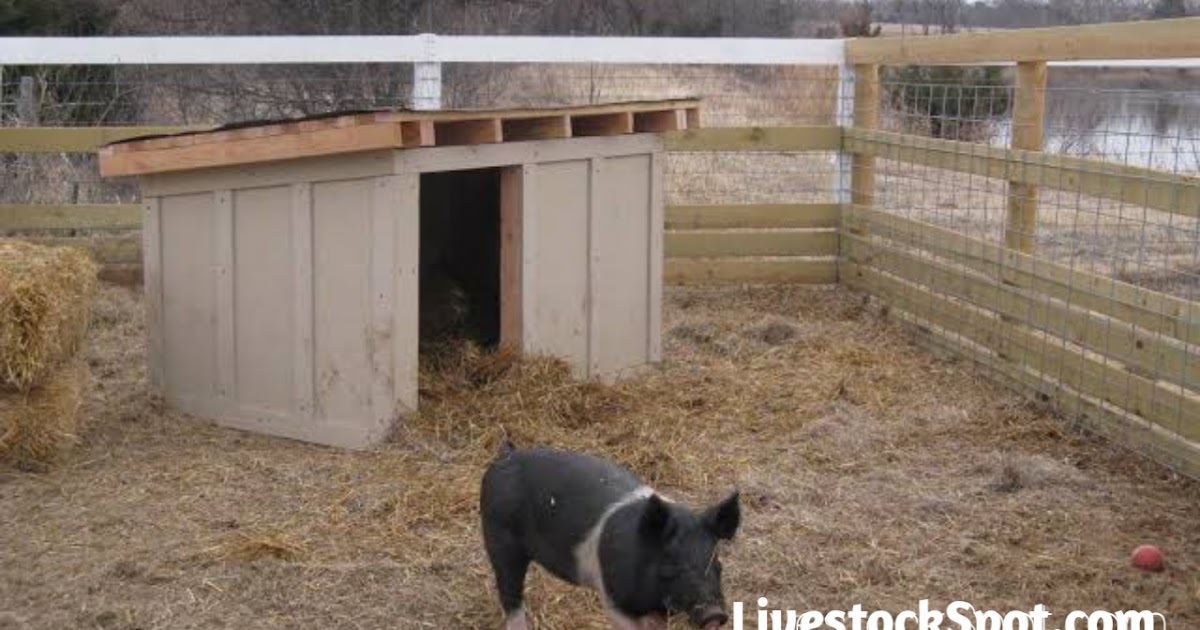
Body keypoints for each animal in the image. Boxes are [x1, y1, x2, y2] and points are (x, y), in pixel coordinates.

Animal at [480, 441, 741, 630]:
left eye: (717, 564)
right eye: (671, 566)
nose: (714, 614)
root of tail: (506, 456)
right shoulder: (615, 600)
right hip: (499, 540)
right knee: (510, 597)